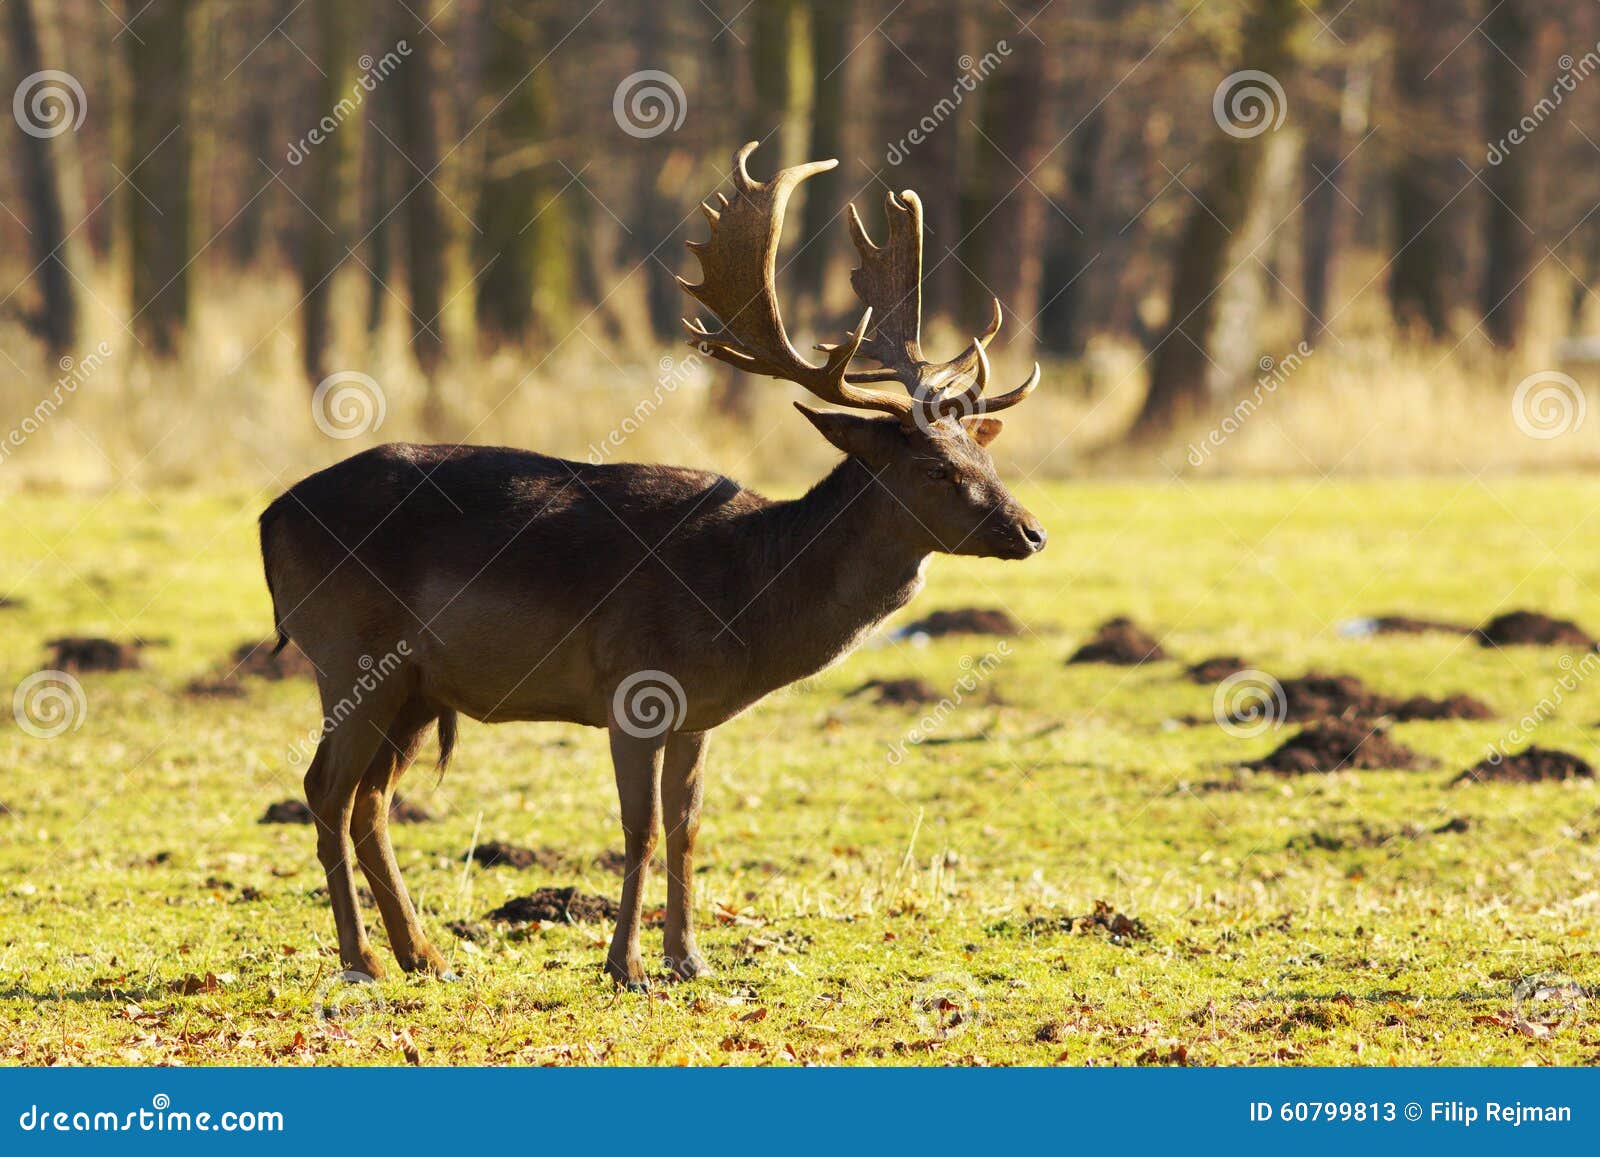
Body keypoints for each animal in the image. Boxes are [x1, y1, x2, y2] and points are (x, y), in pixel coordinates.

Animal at [259, 142, 1047, 990]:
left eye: (984, 453)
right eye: (935, 468)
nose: (1031, 531)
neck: (742, 598)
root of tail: (269, 519)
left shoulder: (696, 712)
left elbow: (686, 823)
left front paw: (689, 956)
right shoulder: (631, 685)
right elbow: (635, 826)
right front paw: (626, 963)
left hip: (414, 685)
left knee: (369, 800)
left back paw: (424, 953)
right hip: (349, 651)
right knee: (325, 789)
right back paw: (361, 959)